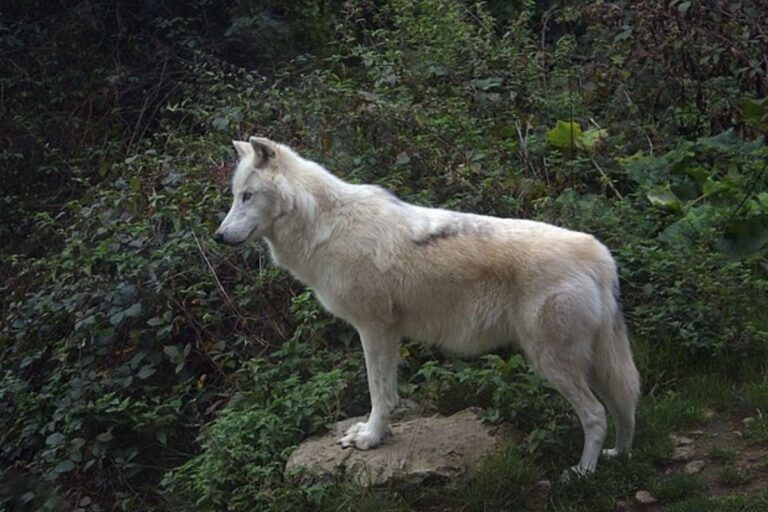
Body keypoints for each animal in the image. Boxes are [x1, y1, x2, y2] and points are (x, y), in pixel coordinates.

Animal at [214, 137, 641, 474]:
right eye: (235, 196)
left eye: (247, 195)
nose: (218, 236)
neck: (325, 226)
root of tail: (599, 254)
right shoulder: (389, 333)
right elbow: (389, 394)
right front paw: (377, 434)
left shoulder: (374, 328)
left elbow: (378, 393)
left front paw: (369, 438)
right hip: (592, 362)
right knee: (624, 405)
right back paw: (619, 455)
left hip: (553, 361)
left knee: (596, 415)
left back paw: (583, 473)